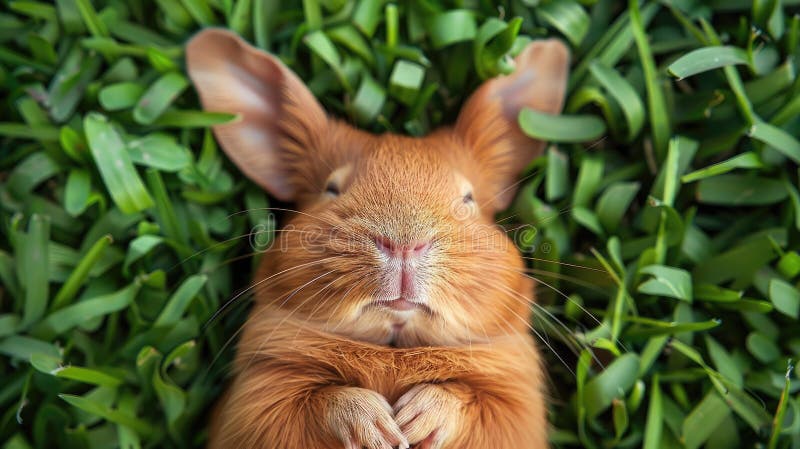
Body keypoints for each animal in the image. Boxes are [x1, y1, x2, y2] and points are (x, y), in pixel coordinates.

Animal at [186, 28, 569, 449]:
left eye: (468, 198)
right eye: (332, 189)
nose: (404, 245)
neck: (393, 346)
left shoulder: (512, 404)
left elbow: (464, 400)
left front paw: (415, 420)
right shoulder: (260, 398)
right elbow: (325, 402)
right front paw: (379, 429)